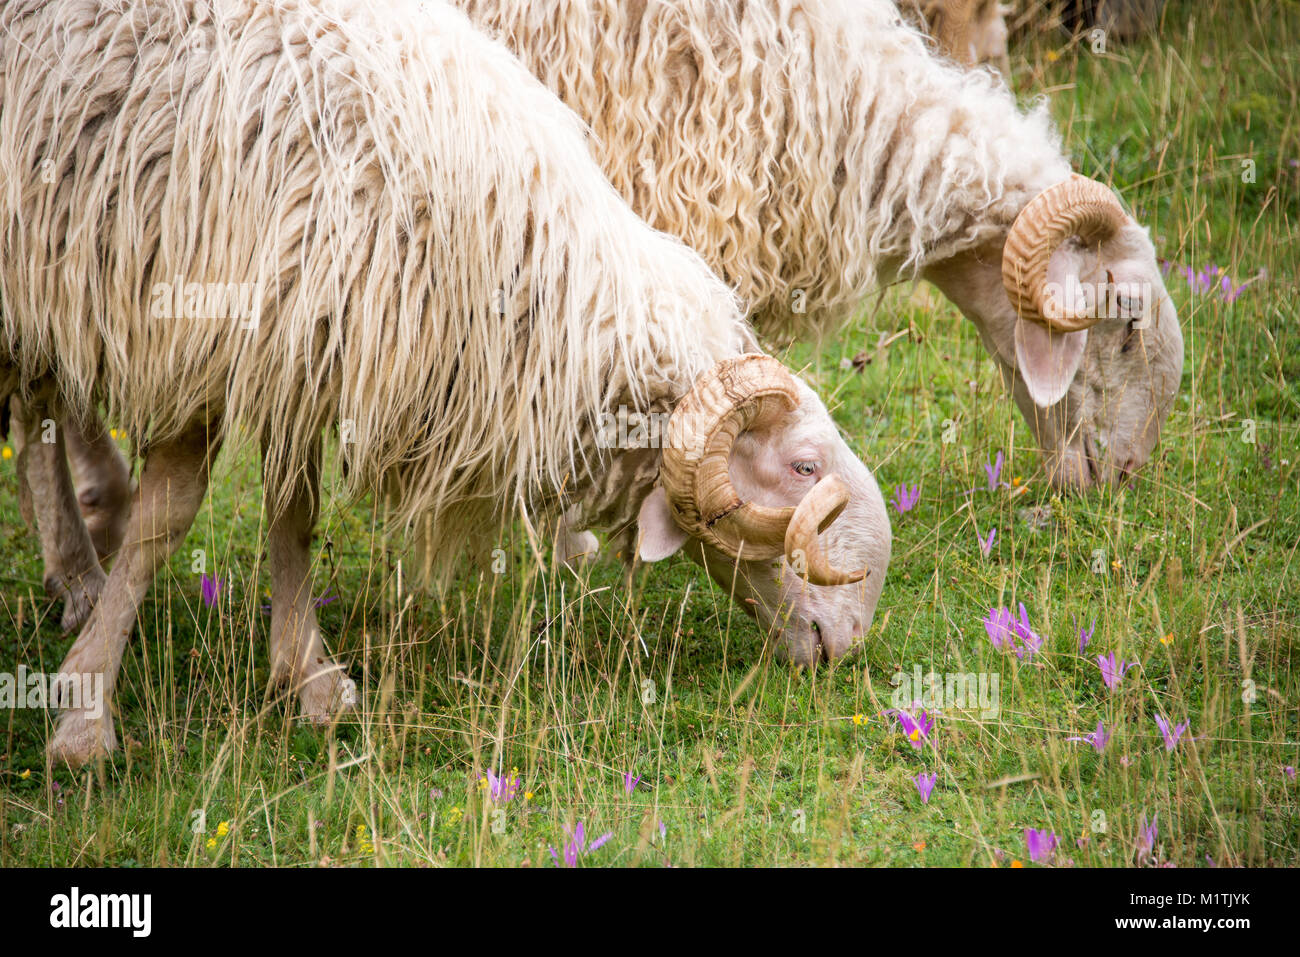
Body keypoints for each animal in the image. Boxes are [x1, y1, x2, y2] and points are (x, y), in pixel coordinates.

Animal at [0, 0, 891, 767]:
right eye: (803, 467)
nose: (852, 636)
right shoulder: (216, 336)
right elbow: (167, 516)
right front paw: (84, 715)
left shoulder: (307, 352)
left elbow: (295, 511)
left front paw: (309, 678)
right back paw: (79, 577)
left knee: (38, 408)